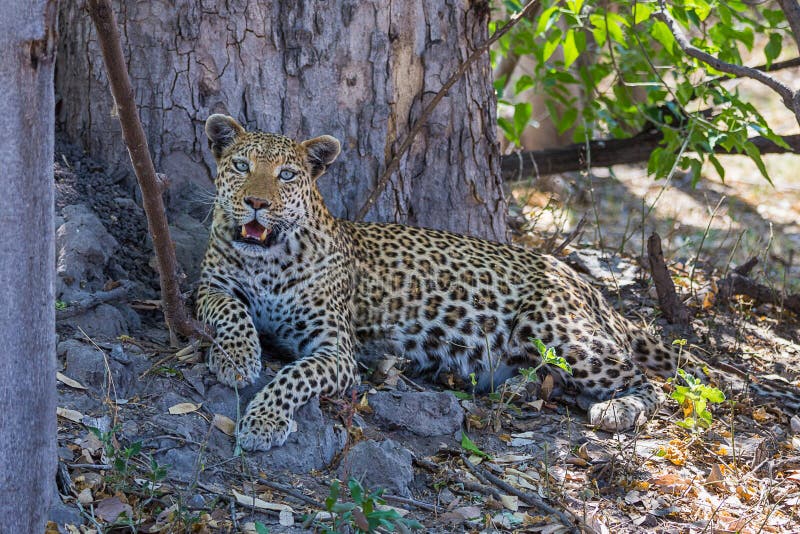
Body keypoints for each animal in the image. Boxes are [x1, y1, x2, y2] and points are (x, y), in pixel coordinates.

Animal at [195, 114, 789, 452]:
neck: (268, 257)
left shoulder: (335, 349)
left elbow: (292, 377)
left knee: (646, 381)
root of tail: (584, 283)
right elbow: (228, 310)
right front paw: (236, 358)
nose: (257, 202)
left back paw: (615, 409)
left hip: (558, 331)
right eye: (242, 166)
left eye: (288, 176)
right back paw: (522, 388)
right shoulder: (210, 285)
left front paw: (263, 420)